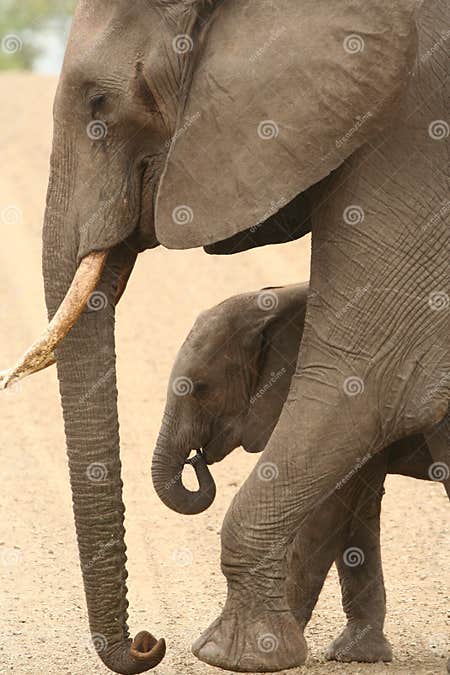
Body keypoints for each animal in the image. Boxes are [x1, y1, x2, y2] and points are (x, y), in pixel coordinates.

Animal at [153, 282, 444, 663]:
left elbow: (330, 509)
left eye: (200, 388)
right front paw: (357, 656)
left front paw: (269, 648)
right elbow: (357, 505)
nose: (195, 459)